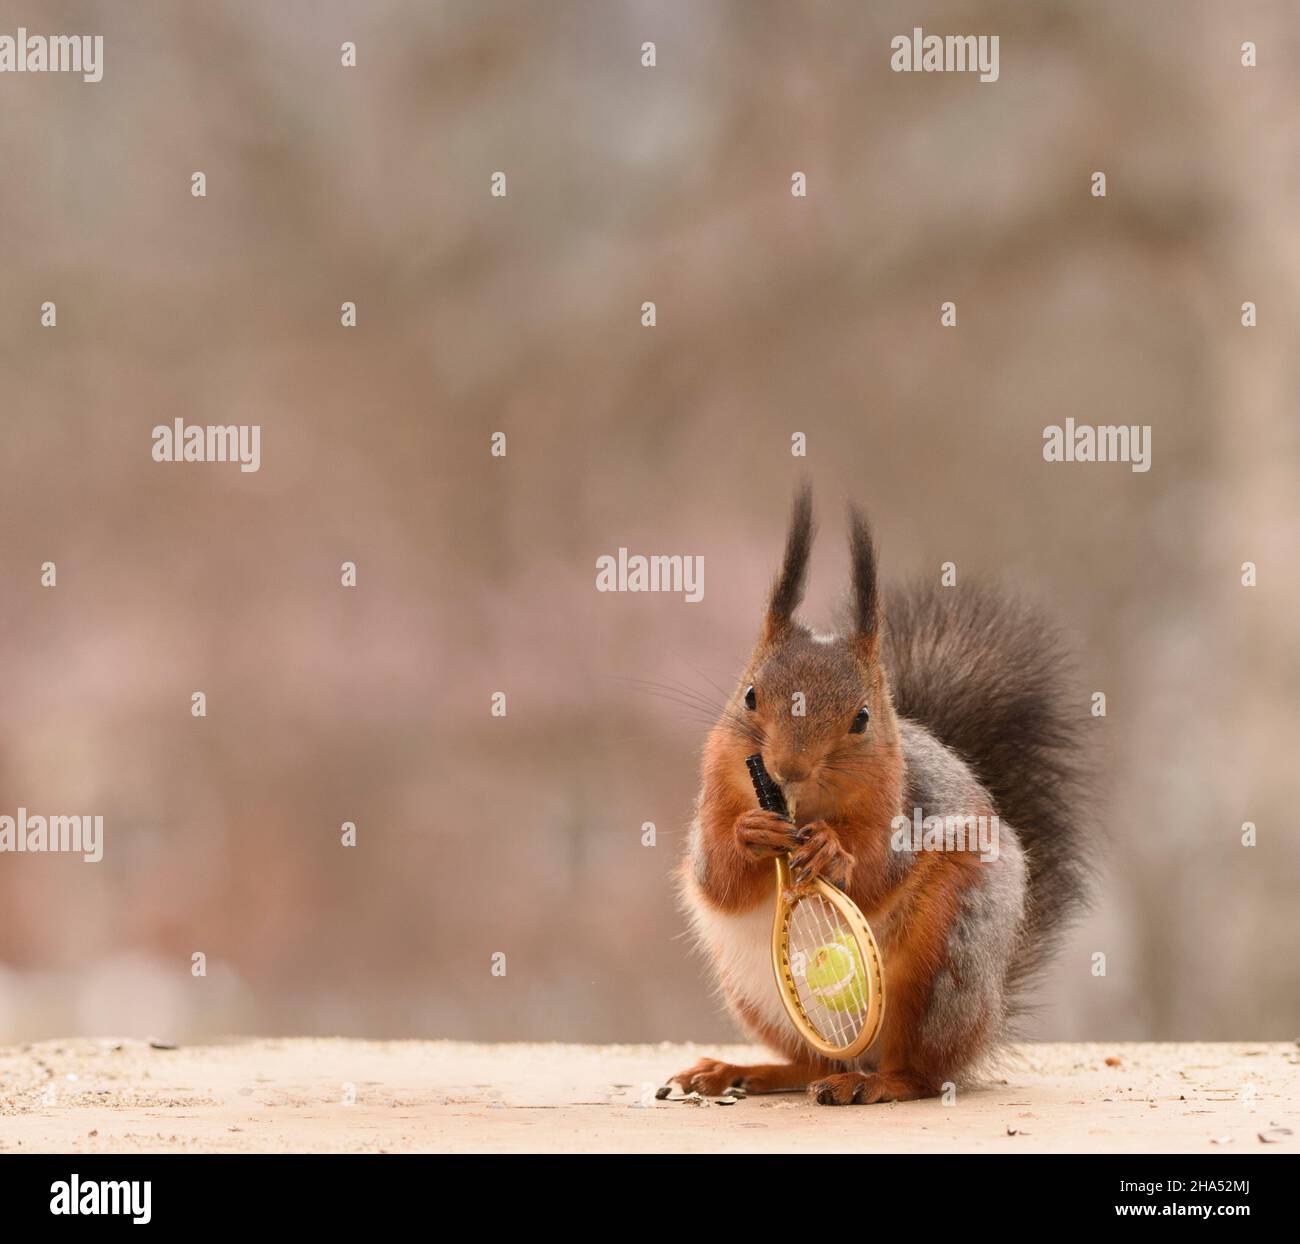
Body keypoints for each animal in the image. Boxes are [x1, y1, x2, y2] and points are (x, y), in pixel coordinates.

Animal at [671, 486, 1091, 1105]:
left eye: (862, 718)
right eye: (749, 695)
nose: (788, 768)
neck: (805, 809)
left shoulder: (902, 809)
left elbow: (874, 874)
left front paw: (832, 852)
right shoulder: (714, 802)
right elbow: (717, 879)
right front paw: (752, 834)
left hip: (946, 956)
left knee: (924, 1072)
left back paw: (873, 1083)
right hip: (756, 994)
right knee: (808, 1060)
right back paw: (745, 1071)